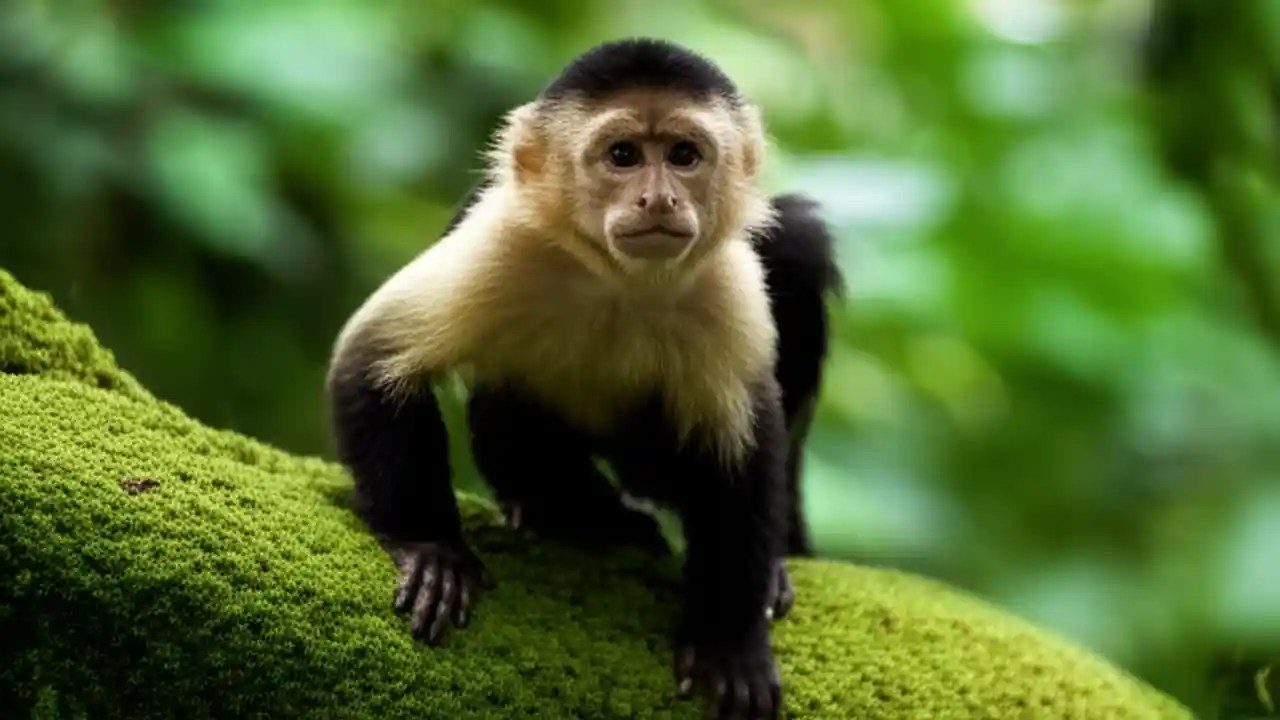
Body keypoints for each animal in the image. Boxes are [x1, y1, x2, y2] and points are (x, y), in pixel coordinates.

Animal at [326, 38, 843, 720]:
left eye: (684, 155)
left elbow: (746, 449)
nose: (659, 200)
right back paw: (577, 512)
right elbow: (374, 358)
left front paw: (728, 639)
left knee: (797, 238)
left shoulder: (726, 284)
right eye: (623, 156)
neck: (621, 280)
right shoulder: (501, 239)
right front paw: (430, 548)